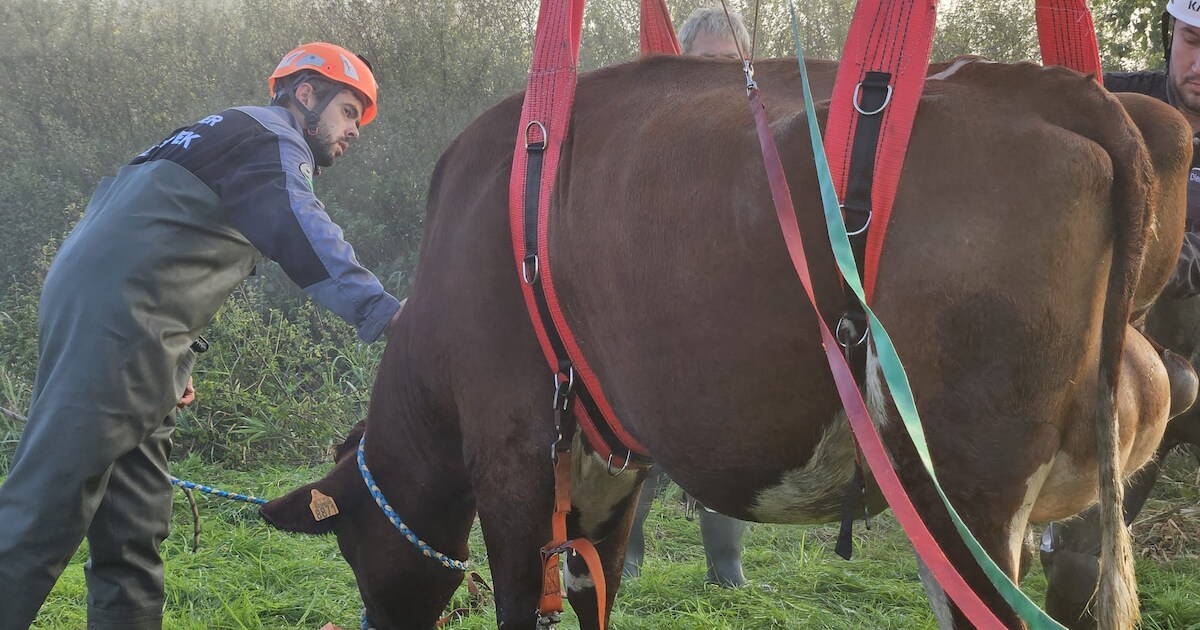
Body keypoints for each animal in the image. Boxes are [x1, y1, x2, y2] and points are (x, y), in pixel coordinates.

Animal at [259, 55, 1192, 629]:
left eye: (350, 546)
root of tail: (1055, 89)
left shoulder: (513, 454)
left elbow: (524, 604)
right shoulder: (607, 466)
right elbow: (593, 592)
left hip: (966, 489)